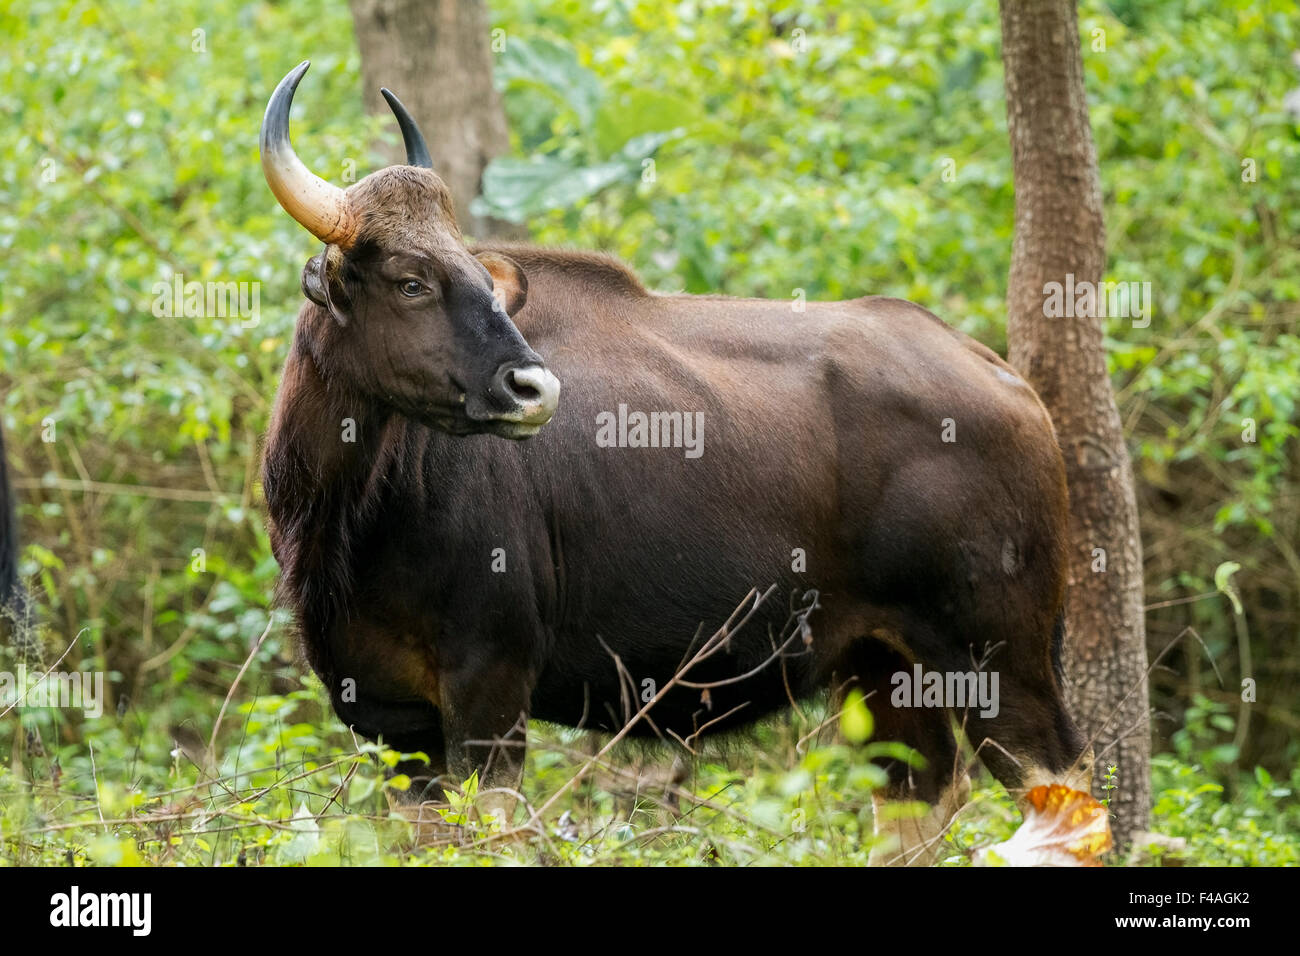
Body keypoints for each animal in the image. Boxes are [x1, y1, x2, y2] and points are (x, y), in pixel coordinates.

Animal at [259, 61, 1092, 865]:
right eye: (410, 280)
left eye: (477, 276)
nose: (531, 388)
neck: (361, 515)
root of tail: (1004, 375)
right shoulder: (398, 726)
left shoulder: (489, 690)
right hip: (881, 667)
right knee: (922, 795)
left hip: (999, 657)